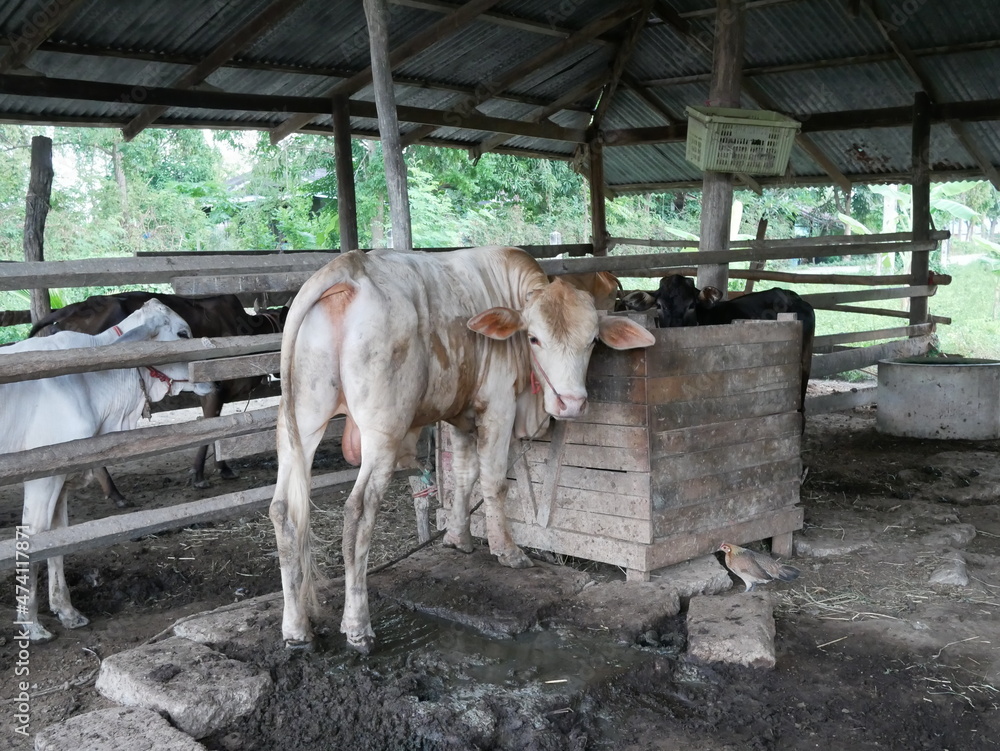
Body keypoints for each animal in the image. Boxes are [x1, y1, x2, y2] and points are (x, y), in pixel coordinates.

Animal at [2, 299, 213, 641]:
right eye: (183, 333)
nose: (213, 378)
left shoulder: (64, 477)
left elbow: (59, 539)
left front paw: (67, 612)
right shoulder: (42, 477)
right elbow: (34, 540)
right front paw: (31, 625)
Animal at [30, 291, 287, 501]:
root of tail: (79, 306)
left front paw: (221, 468)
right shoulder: (214, 389)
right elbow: (210, 429)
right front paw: (199, 475)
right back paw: (115, 494)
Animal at [270, 246, 655, 653]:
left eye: (593, 340)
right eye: (534, 339)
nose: (572, 403)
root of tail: (346, 268)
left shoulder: (460, 414)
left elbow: (464, 476)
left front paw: (458, 538)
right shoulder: (498, 406)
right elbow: (493, 482)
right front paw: (507, 551)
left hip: (301, 420)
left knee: (282, 509)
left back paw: (296, 629)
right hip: (383, 429)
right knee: (358, 512)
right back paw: (358, 628)